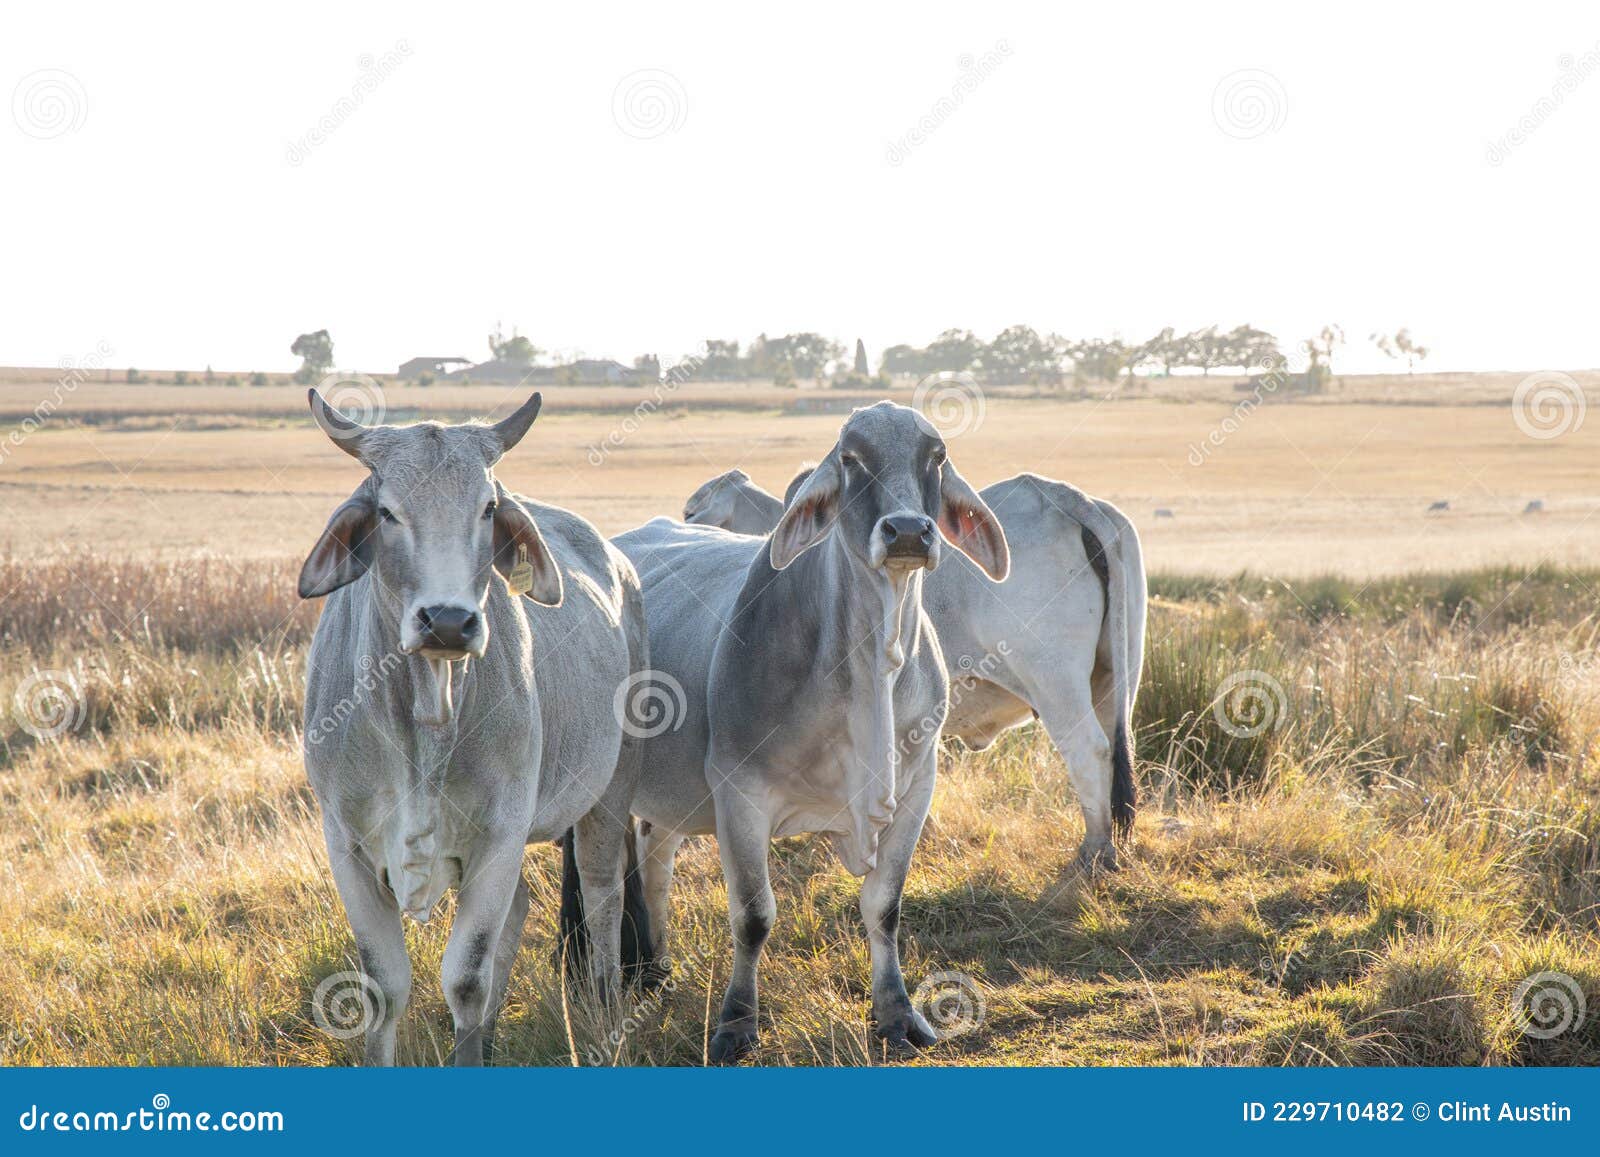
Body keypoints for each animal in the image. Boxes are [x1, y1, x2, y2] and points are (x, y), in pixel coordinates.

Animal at [297, 389, 649, 1065]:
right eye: (387, 511)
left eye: (487, 507)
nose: (448, 622)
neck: (426, 717)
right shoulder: (346, 844)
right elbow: (382, 988)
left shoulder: (501, 837)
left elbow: (465, 978)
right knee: (523, 912)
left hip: (610, 790)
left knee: (601, 897)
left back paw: (605, 1015)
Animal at [582, 403, 1009, 1062]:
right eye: (850, 458)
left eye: (936, 456)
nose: (908, 532)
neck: (870, 666)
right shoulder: (740, 794)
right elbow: (754, 916)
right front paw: (736, 1025)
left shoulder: (917, 788)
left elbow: (884, 907)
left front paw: (897, 1015)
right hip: (605, 793)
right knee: (603, 891)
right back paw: (607, 999)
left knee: (655, 861)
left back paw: (656, 969)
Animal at [688, 462, 1145, 871]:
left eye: (693, 512)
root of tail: (1064, 496)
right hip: (1115, 679)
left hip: (1054, 681)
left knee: (1088, 750)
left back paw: (1094, 852)